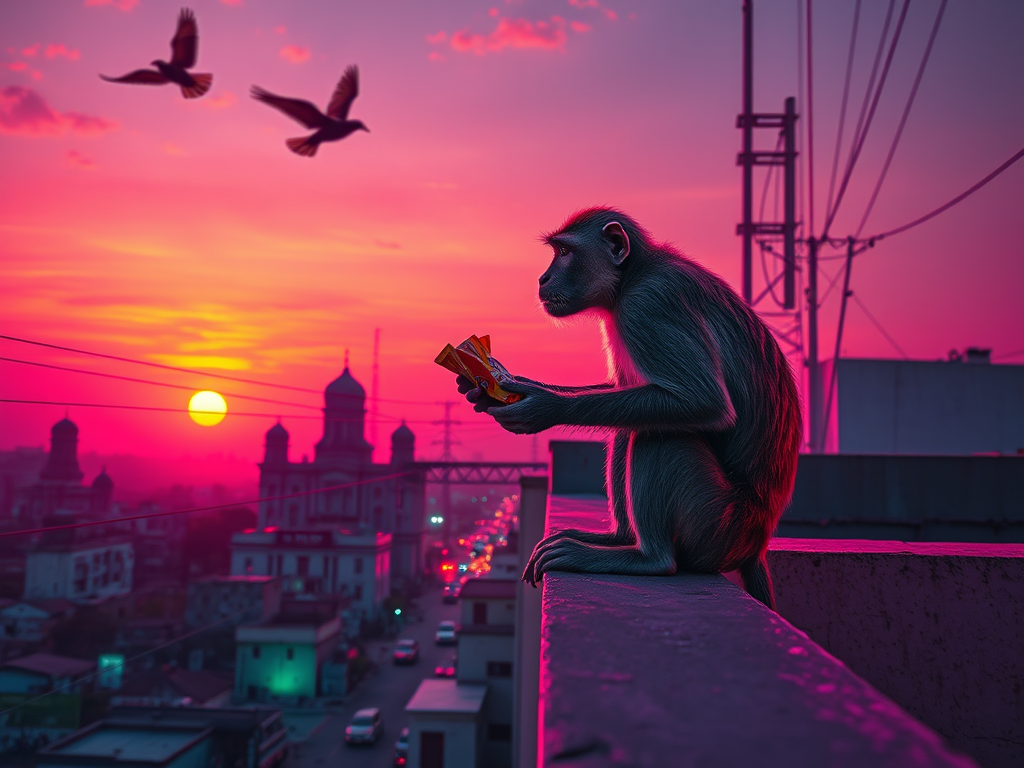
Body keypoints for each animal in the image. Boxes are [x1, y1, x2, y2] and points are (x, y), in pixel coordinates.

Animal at [455, 207, 801, 609]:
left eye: (564, 252)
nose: (542, 278)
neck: (631, 275)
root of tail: (756, 542)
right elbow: (626, 391)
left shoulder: (648, 305)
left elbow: (702, 401)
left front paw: (540, 407)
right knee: (632, 424)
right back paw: (618, 538)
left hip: (718, 523)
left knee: (661, 437)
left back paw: (648, 558)